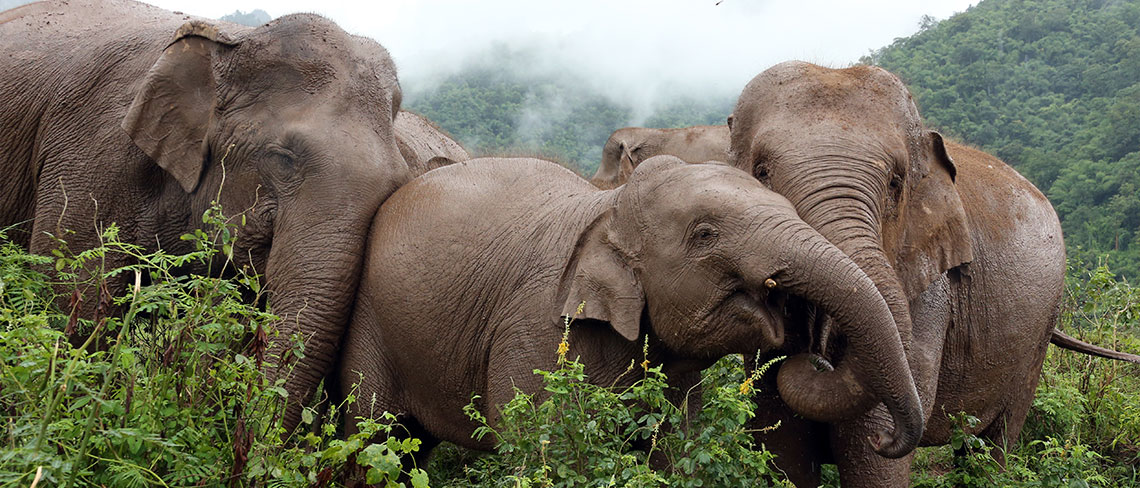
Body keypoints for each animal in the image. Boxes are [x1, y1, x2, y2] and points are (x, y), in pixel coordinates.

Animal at [337, 155, 925, 464]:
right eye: (705, 234)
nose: (884, 441)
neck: (608, 207)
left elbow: (675, 446)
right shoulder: (537, 328)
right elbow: (544, 442)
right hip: (369, 328)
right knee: (371, 438)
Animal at [728, 61, 1138, 487]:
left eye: (896, 182)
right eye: (761, 171)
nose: (815, 359)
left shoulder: (928, 286)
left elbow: (866, 435)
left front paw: (876, 436)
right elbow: (779, 431)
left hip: (1039, 331)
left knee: (1000, 437)